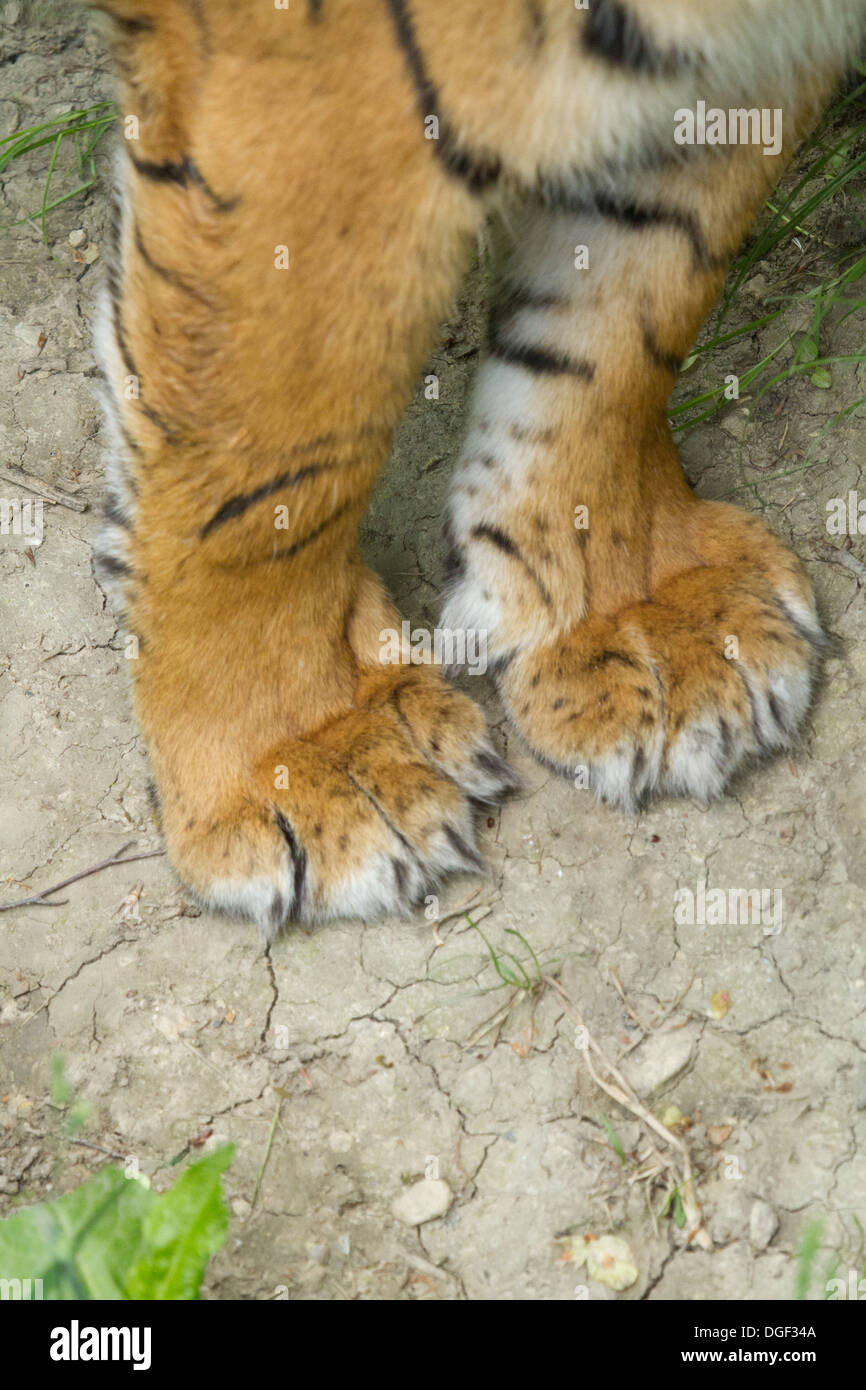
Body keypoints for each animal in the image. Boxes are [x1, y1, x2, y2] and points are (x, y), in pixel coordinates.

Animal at [88, 0, 866, 937]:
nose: (314, 765)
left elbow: (638, 313)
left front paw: (642, 617)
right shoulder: (316, 76)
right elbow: (272, 452)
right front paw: (307, 754)